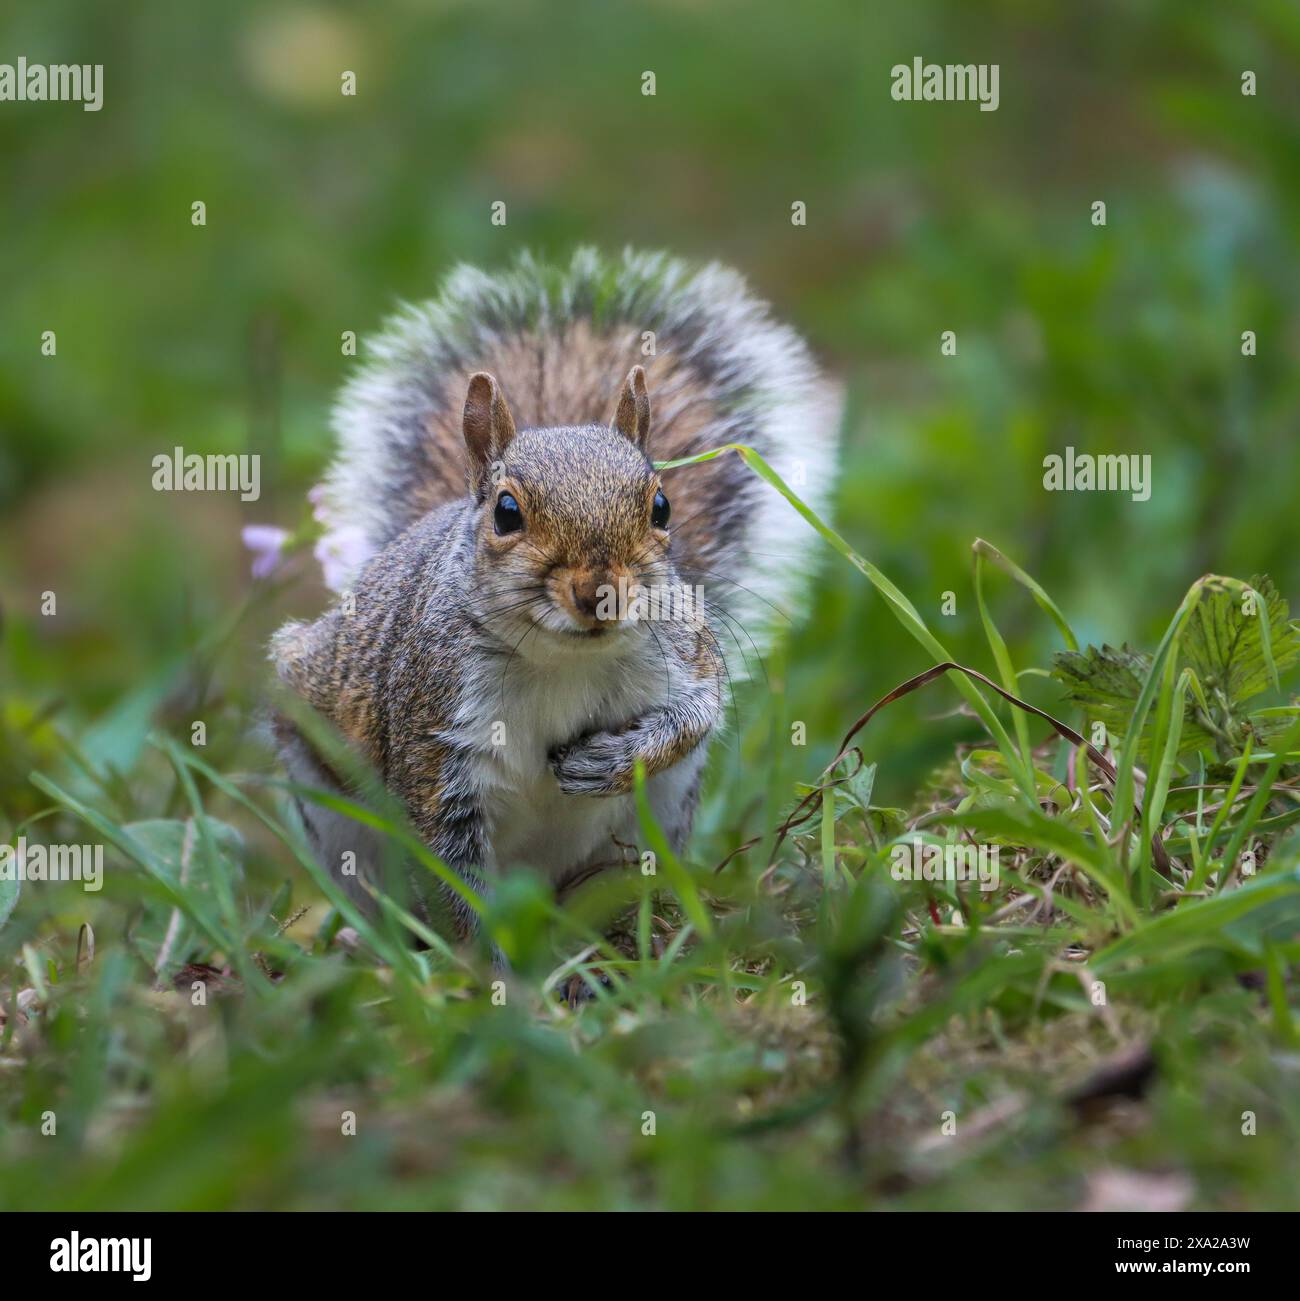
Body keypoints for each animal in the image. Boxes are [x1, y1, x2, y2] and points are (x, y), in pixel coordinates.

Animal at [269, 248, 840, 938]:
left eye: (661, 505)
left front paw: (616, 760)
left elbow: (699, 711)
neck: (565, 658)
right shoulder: (434, 736)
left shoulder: (685, 650)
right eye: (506, 512)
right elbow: (449, 877)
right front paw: (479, 959)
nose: (600, 591)